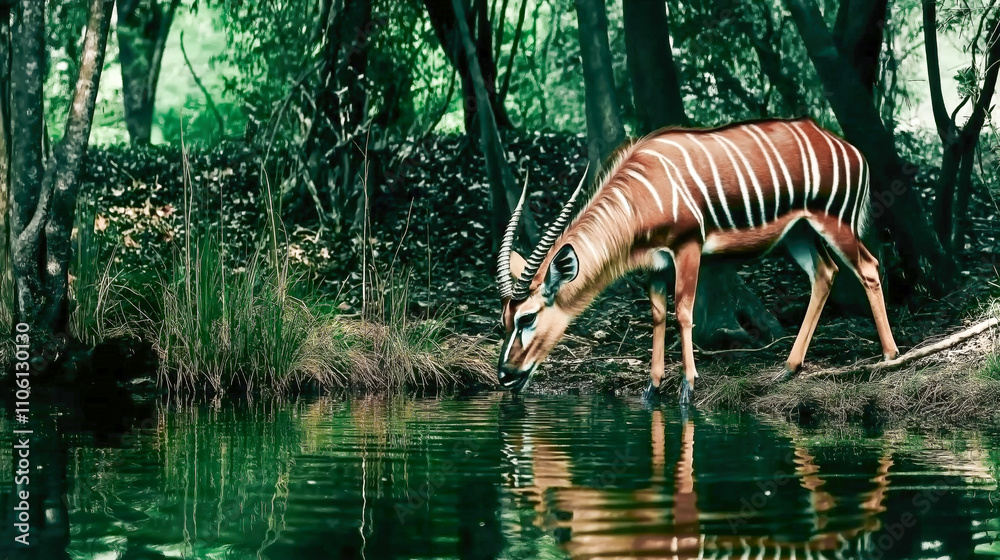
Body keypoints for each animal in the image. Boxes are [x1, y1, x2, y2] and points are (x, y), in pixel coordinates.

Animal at [496, 117, 899, 403]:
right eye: (504, 320)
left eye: (527, 317)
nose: (505, 374)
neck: (640, 193)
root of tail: (852, 151)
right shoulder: (656, 265)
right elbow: (658, 315)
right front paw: (653, 387)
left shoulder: (687, 246)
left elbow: (684, 311)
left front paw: (688, 386)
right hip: (799, 233)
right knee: (824, 273)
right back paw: (788, 367)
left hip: (834, 223)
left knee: (868, 267)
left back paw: (890, 356)